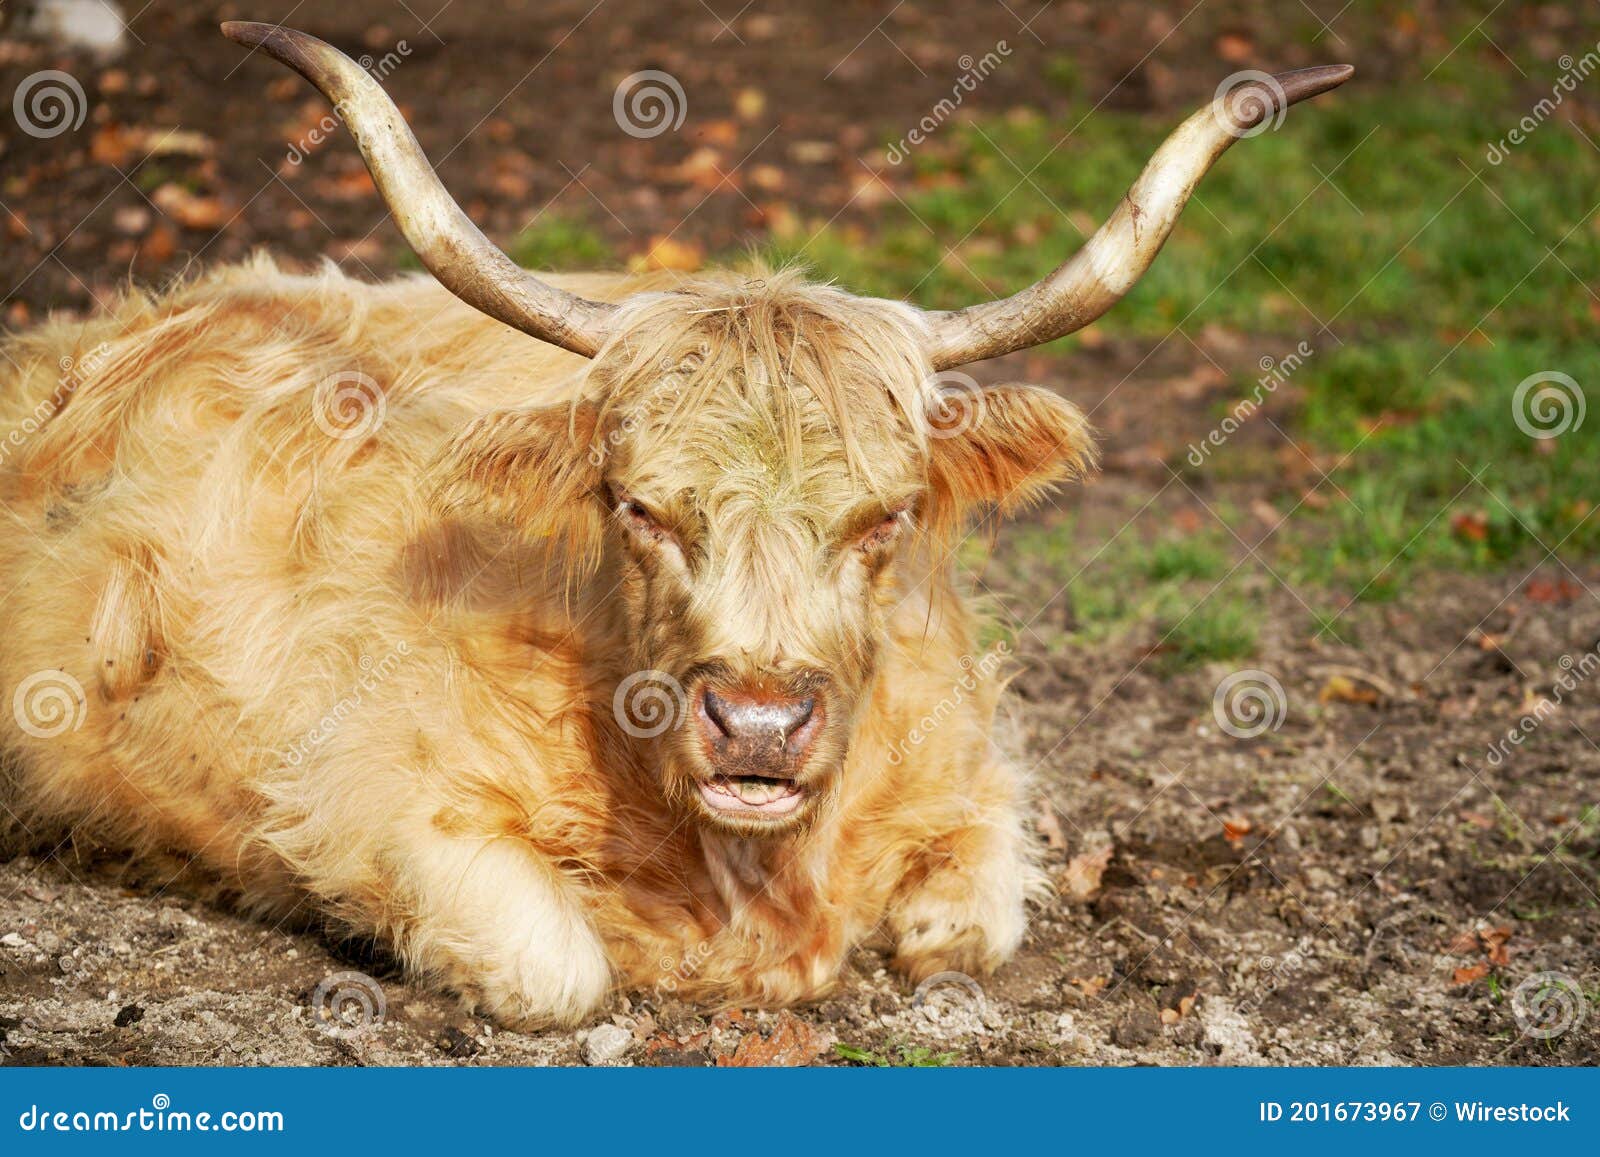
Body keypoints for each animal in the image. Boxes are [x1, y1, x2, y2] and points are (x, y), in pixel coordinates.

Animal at [0, 23, 1350, 1027]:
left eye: (884, 517)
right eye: (640, 505)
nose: (755, 721)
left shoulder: (974, 777)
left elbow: (961, 929)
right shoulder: (366, 798)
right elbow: (558, 963)